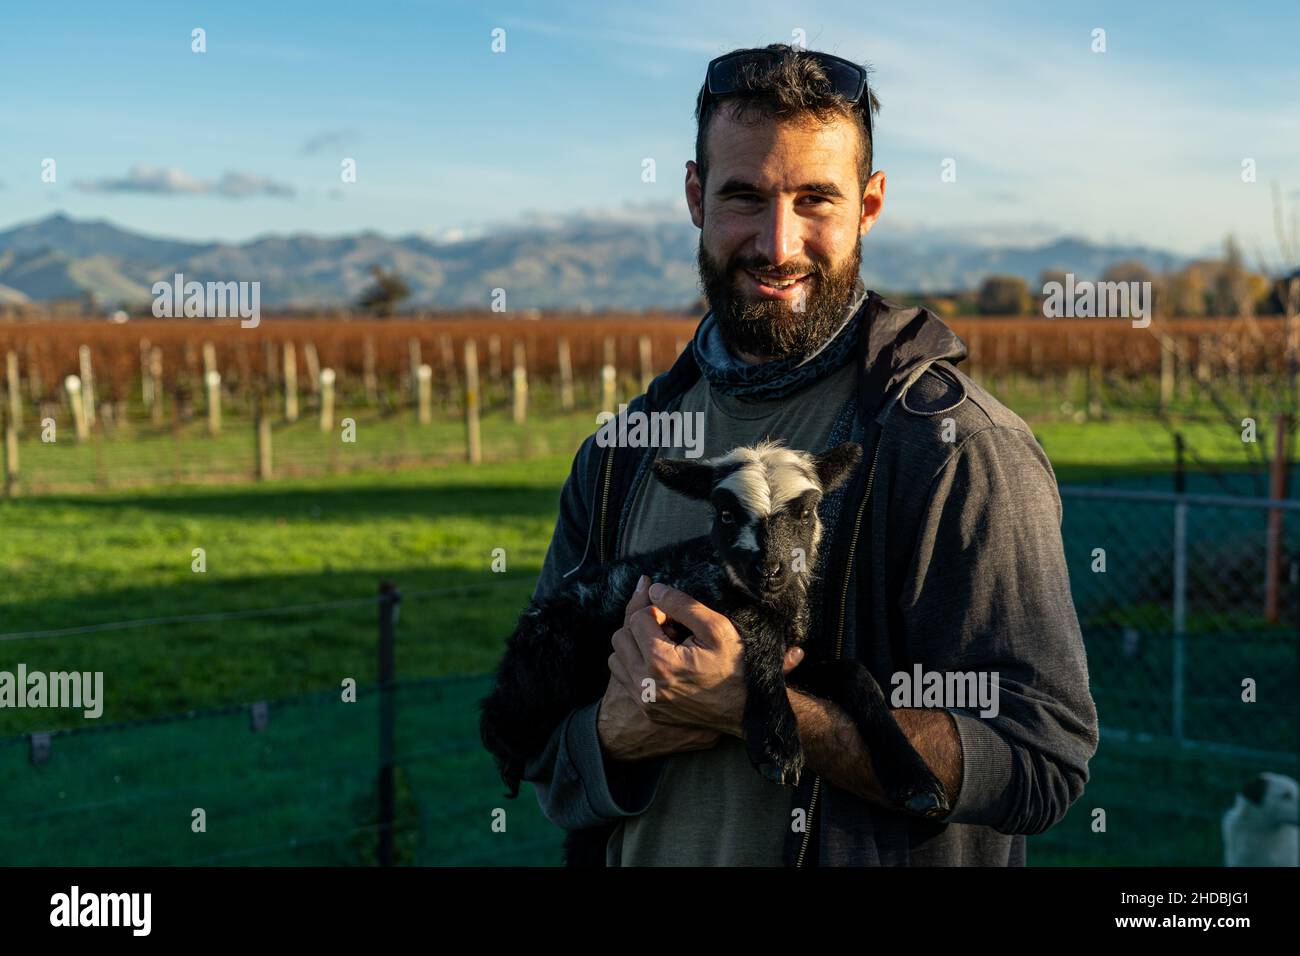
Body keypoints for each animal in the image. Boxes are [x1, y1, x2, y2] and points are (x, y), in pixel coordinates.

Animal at [479, 439, 950, 863]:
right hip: (547, 672)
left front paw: (918, 783)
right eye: (725, 514)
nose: (769, 569)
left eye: (805, 511)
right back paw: (507, 764)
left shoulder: (799, 662)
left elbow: (856, 674)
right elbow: (758, 632)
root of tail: (535, 613)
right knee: (498, 713)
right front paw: (778, 743)